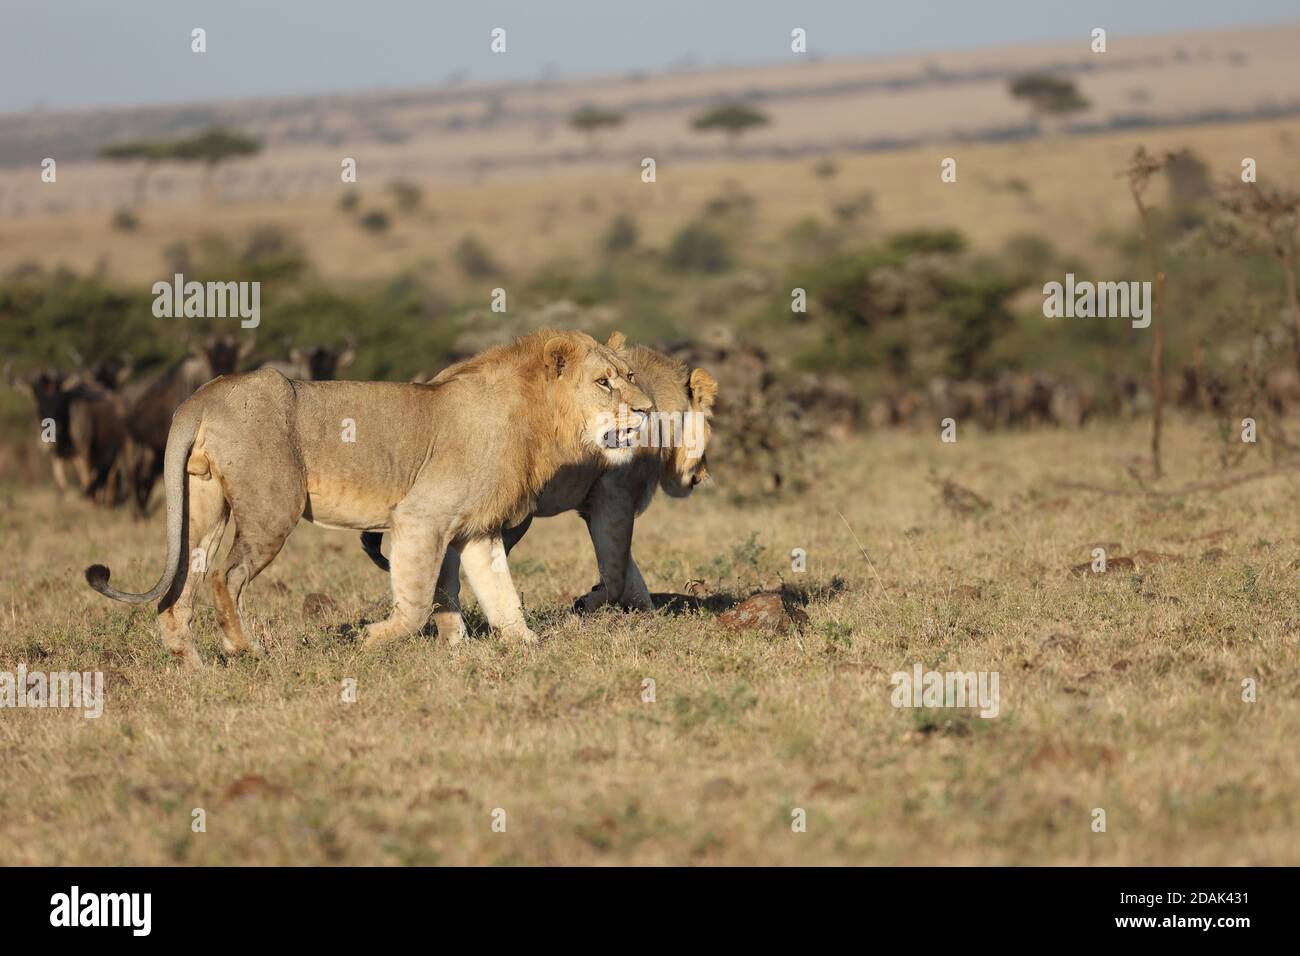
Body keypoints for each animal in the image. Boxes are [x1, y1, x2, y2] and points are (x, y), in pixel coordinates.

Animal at [84, 329, 652, 665]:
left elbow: (499, 596)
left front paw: (522, 647)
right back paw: (246, 648)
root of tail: (204, 394)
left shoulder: (476, 531)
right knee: (227, 576)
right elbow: (417, 601)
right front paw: (372, 640)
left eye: (629, 376)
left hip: (202, 508)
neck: (537, 417)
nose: (647, 410)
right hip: (273, 507)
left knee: (183, 585)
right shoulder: (421, 516)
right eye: (603, 383)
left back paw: (194, 666)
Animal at [360, 342, 718, 642]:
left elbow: (630, 573)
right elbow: (617, 573)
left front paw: (647, 617)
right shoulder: (612, 499)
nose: (704, 473)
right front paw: (588, 602)